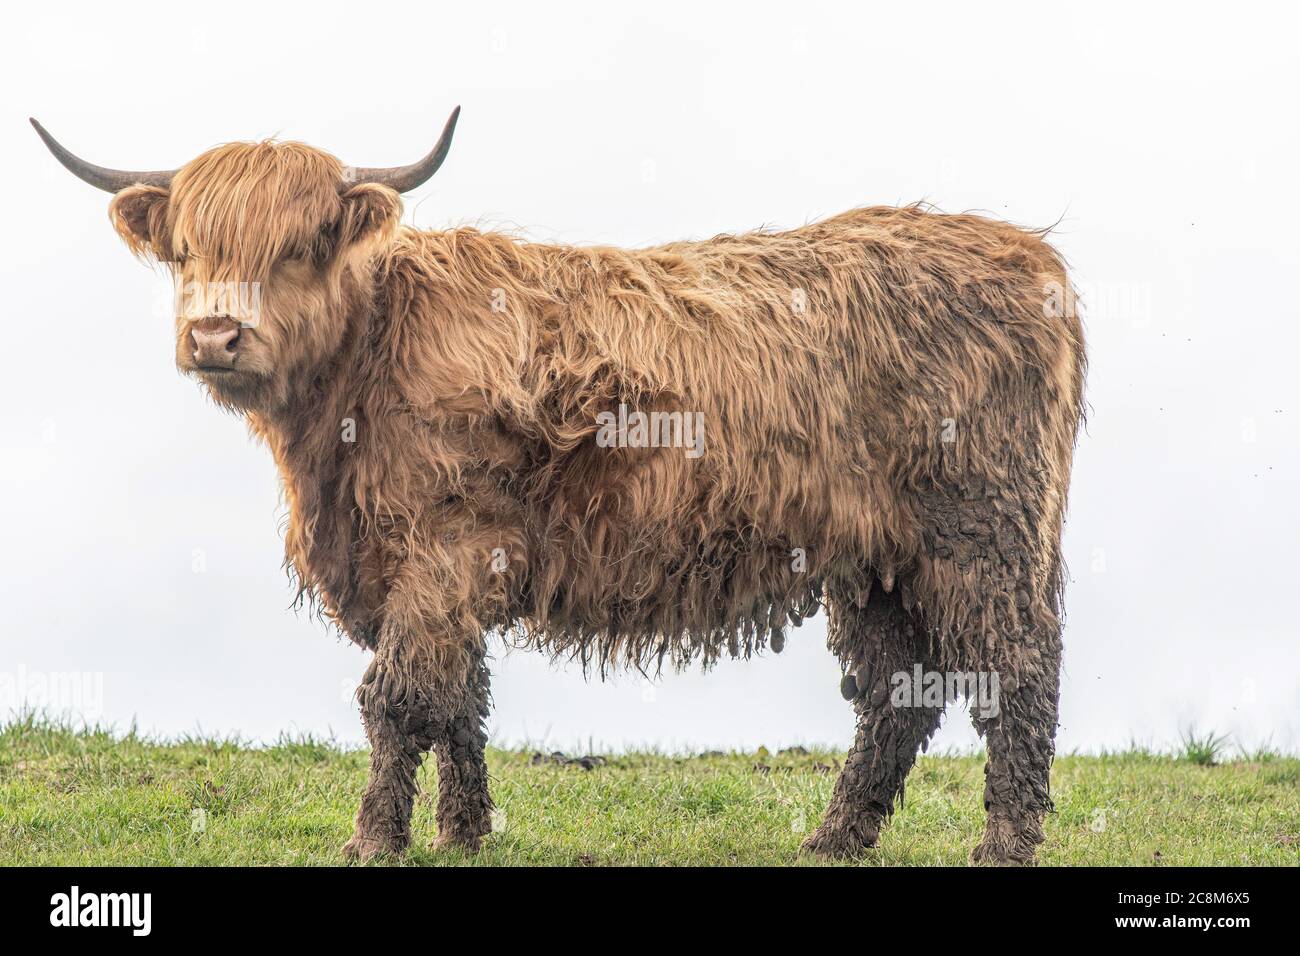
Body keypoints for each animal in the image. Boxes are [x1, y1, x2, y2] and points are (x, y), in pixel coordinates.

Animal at [33, 109, 1086, 864]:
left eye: (299, 246)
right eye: (186, 253)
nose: (215, 335)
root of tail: (1029, 256)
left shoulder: (440, 548)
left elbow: (397, 696)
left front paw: (373, 840)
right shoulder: (429, 566)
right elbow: (457, 695)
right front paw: (463, 834)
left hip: (983, 537)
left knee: (1017, 673)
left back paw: (1003, 846)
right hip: (873, 561)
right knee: (895, 695)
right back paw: (833, 841)